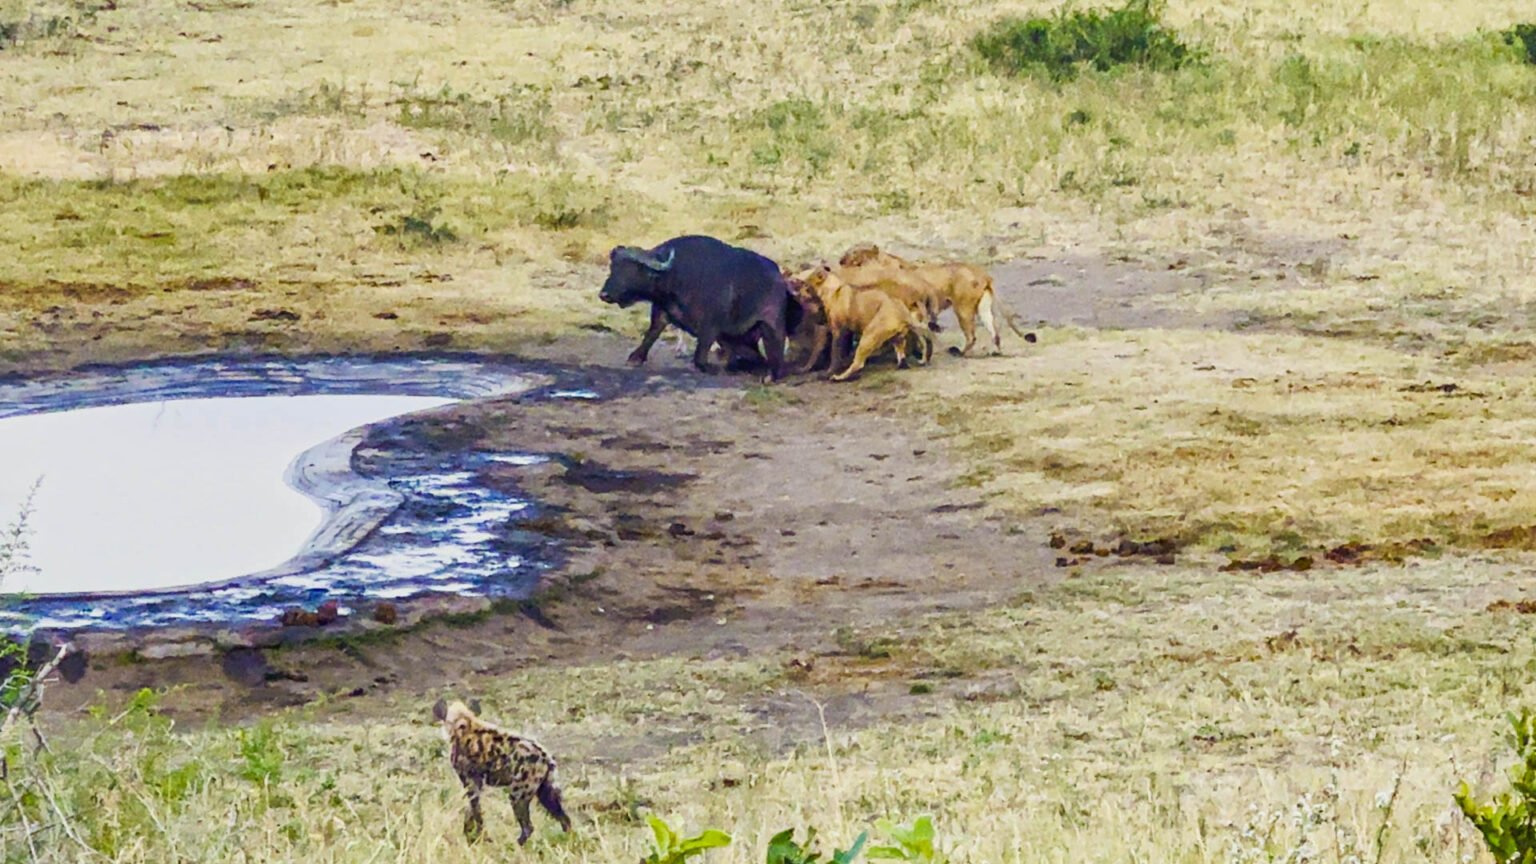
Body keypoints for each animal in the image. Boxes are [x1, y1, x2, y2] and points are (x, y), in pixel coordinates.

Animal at [598, 235, 803, 381]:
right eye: (613, 267)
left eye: (630, 270)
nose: (604, 294)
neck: (676, 277)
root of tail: (780, 278)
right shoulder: (662, 313)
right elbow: (652, 334)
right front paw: (635, 358)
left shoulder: (710, 327)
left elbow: (699, 358)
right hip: (736, 338)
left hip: (771, 327)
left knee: (776, 357)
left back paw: (768, 375)